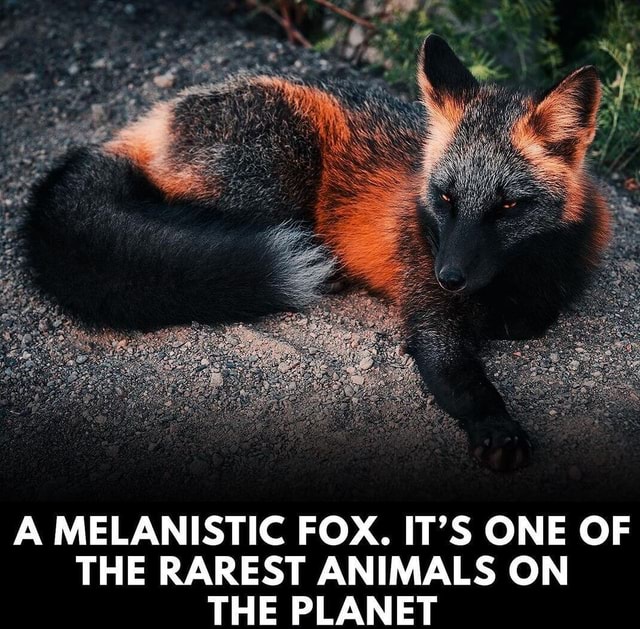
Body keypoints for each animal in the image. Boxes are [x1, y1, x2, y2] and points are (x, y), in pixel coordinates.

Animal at [23, 35, 612, 471]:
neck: (514, 277)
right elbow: (465, 378)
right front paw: (497, 428)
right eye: (445, 198)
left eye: (508, 206)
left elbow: (533, 318)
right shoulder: (429, 315)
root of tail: (159, 115)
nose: (449, 276)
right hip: (276, 181)